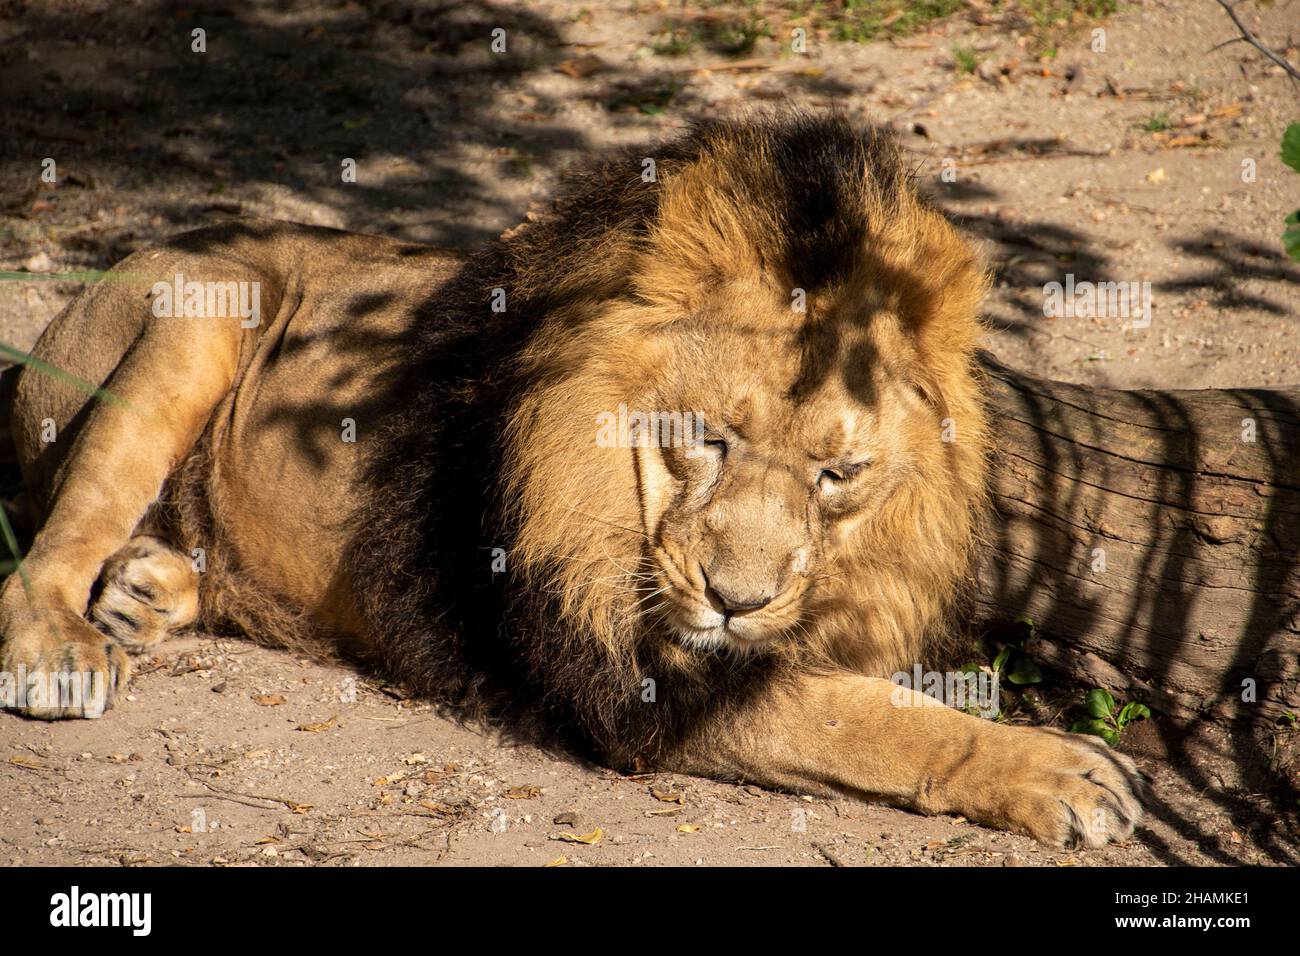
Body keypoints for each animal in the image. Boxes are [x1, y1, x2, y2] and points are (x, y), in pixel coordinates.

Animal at [0, 114, 1143, 847]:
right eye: (706, 438)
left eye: (839, 473)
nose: (736, 601)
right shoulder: (627, 680)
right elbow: (869, 721)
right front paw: (1056, 767)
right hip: (205, 302)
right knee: (47, 541)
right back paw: (66, 644)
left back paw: (148, 587)